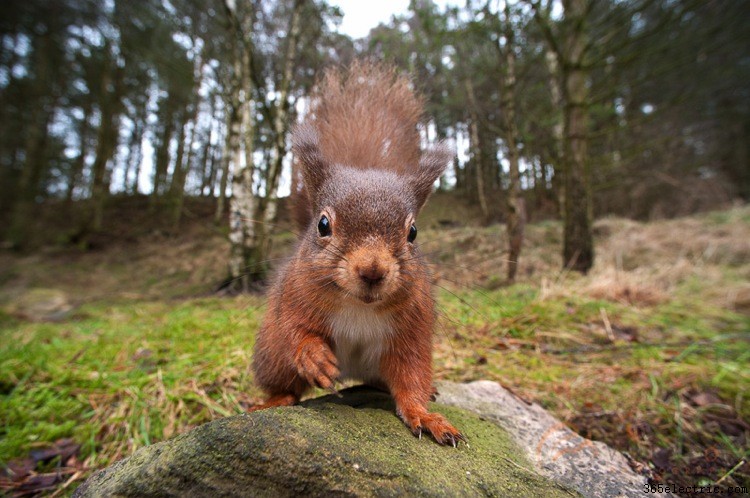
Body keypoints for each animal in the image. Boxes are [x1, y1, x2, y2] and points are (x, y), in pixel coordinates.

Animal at [251, 62, 464, 448]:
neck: (358, 307)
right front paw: (314, 357)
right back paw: (273, 400)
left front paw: (426, 416)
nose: (372, 271)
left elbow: (410, 380)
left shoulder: (412, 332)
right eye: (323, 224)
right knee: (285, 382)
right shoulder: (292, 299)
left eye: (413, 232)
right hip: (270, 354)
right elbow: (295, 332)